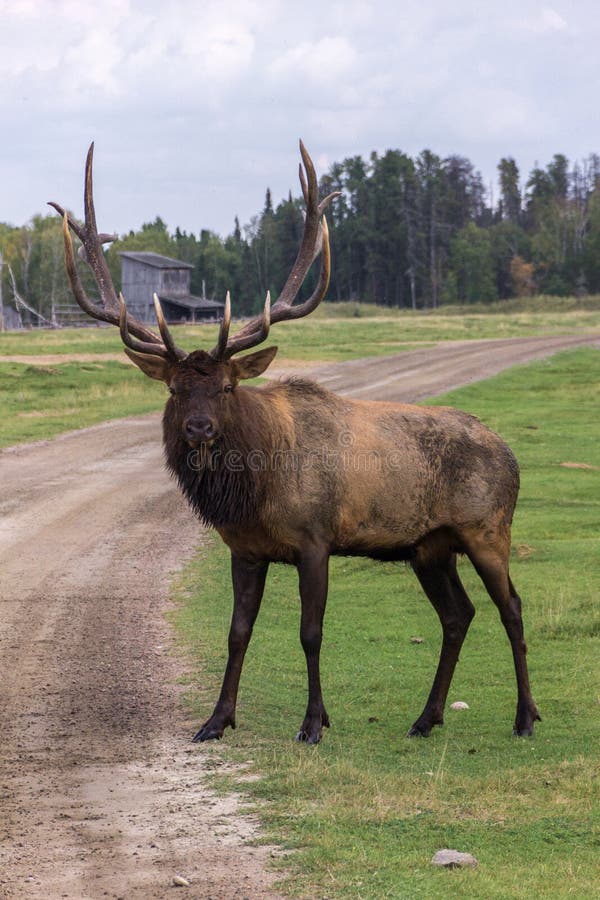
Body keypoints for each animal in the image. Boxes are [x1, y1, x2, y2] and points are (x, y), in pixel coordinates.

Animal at [50, 142, 541, 745]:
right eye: (174, 388)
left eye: (228, 385)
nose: (199, 429)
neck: (256, 490)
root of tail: (512, 456)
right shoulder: (244, 549)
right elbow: (237, 632)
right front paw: (216, 719)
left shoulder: (315, 538)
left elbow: (311, 632)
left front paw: (313, 723)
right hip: (430, 546)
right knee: (458, 614)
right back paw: (426, 718)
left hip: (487, 528)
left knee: (511, 606)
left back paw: (525, 717)